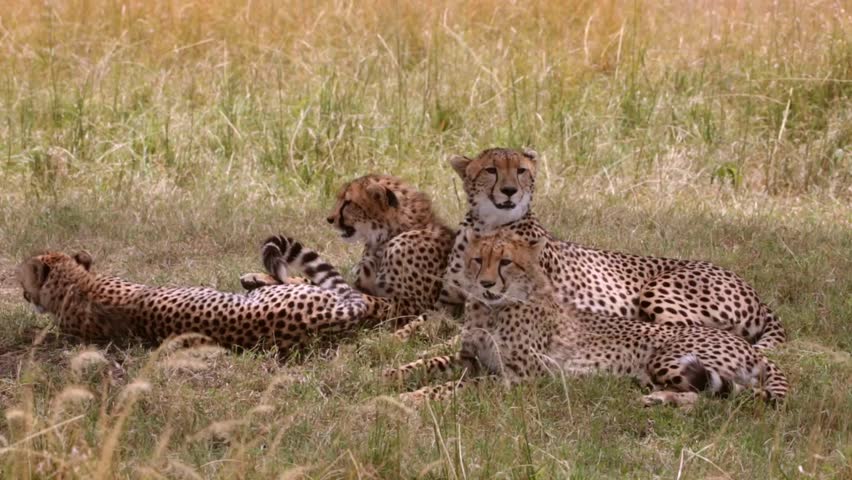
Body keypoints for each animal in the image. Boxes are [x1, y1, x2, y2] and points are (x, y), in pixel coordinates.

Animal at [242, 174, 456, 330]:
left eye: (348, 203)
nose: (330, 219)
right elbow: (319, 280)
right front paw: (259, 277)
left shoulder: (414, 305)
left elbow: (365, 298)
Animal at [387, 230, 789, 407]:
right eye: (477, 259)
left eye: (505, 262)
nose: (485, 284)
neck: (490, 310)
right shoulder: (470, 359)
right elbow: (429, 362)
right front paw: (389, 375)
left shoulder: (518, 379)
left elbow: (447, 388)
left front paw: (398, 401)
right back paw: (658, 398)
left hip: (670, 353)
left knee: (718, 399)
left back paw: (661, 400)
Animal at [438, 147, 786, 351]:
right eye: (491, 170)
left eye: (521, 170)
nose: (511, 191)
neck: (488, 225)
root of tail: (753, 291)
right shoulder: (449, 302)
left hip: (660, 291)